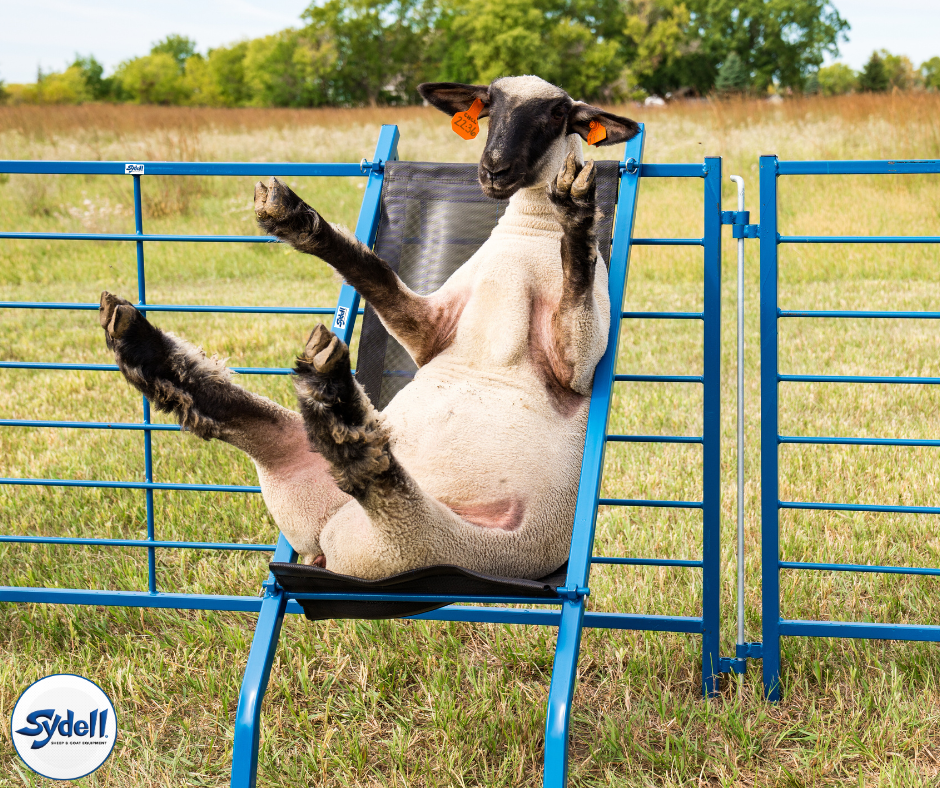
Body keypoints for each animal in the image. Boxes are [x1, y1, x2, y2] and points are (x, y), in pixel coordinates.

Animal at [97, 75, 639, 581]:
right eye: (488, 104)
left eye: (557, 114)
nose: (493, 170)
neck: (527, 241)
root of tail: (323, 546)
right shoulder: (430, 329)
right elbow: (373, 274)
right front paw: (292, 218)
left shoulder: (578, 365)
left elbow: (577, 279)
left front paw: (577, 208)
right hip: (303, 473)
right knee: (226, 414)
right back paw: (138, 342)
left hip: (434, 546)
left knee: (384, 487)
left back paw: (339, 410)